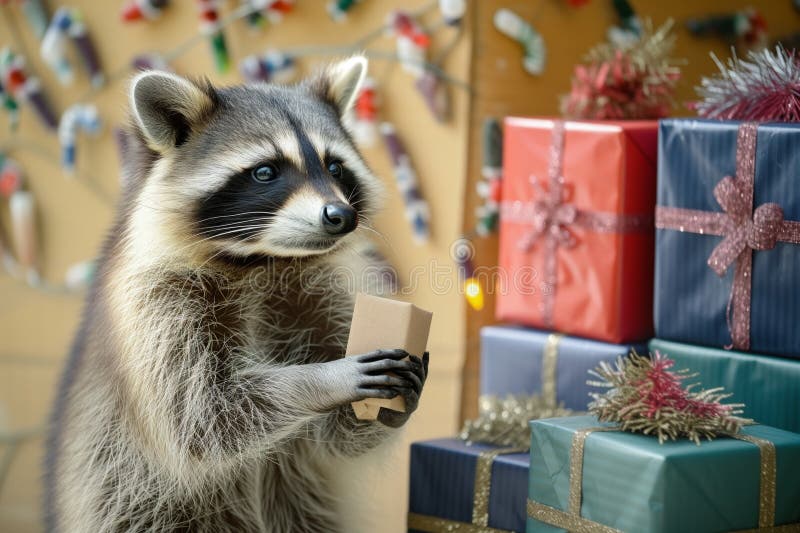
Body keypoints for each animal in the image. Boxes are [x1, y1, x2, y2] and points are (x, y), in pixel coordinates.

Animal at [44, 56, 429, 533]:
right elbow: (203, 418)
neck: (263, 262)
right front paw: (324, 378)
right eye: (265, 171)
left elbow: (336, 438)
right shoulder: (155, 306)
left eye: (335, 167)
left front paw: (390, 409)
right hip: (138, 506)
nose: (341, 215)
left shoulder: (329, 289)